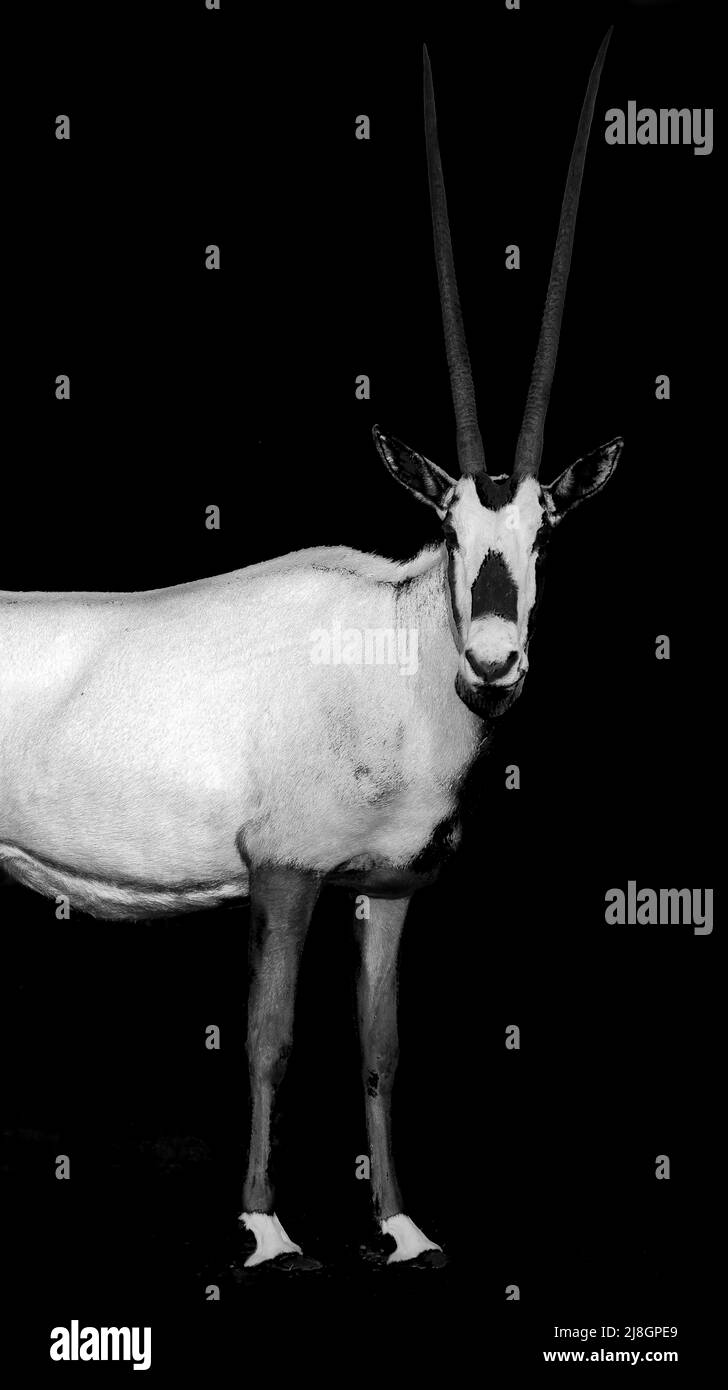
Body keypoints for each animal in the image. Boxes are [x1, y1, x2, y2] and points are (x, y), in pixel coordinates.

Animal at [0, 33, 621, 1270]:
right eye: (447, 528)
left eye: (540, 534)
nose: (492, 663)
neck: (388, 660)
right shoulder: (281, 875)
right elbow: (271, 1038)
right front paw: (266, 1227)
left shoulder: (382, 888)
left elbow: (379, 1048)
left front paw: (405, 1227)